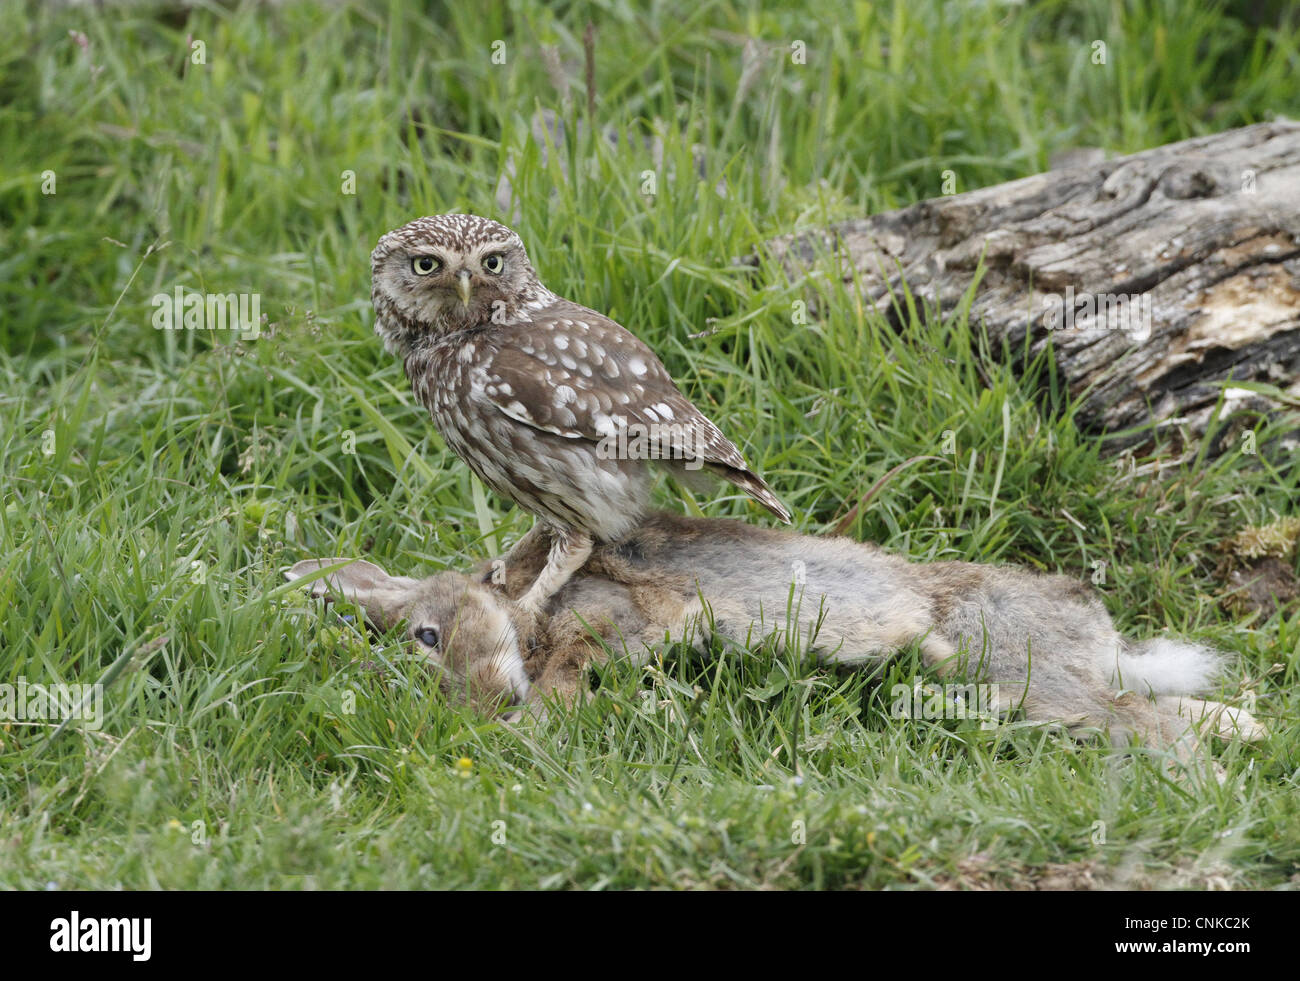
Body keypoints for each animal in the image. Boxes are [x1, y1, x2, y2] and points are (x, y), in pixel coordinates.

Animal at [285, 510, 1265, 765]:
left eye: (428, 633)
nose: (481, 710)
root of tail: (1094, 622)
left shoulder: (621, 616)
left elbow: (578, 661)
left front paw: (537, 724)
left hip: (1015, 669)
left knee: (1142, 722)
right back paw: (1249, 732)